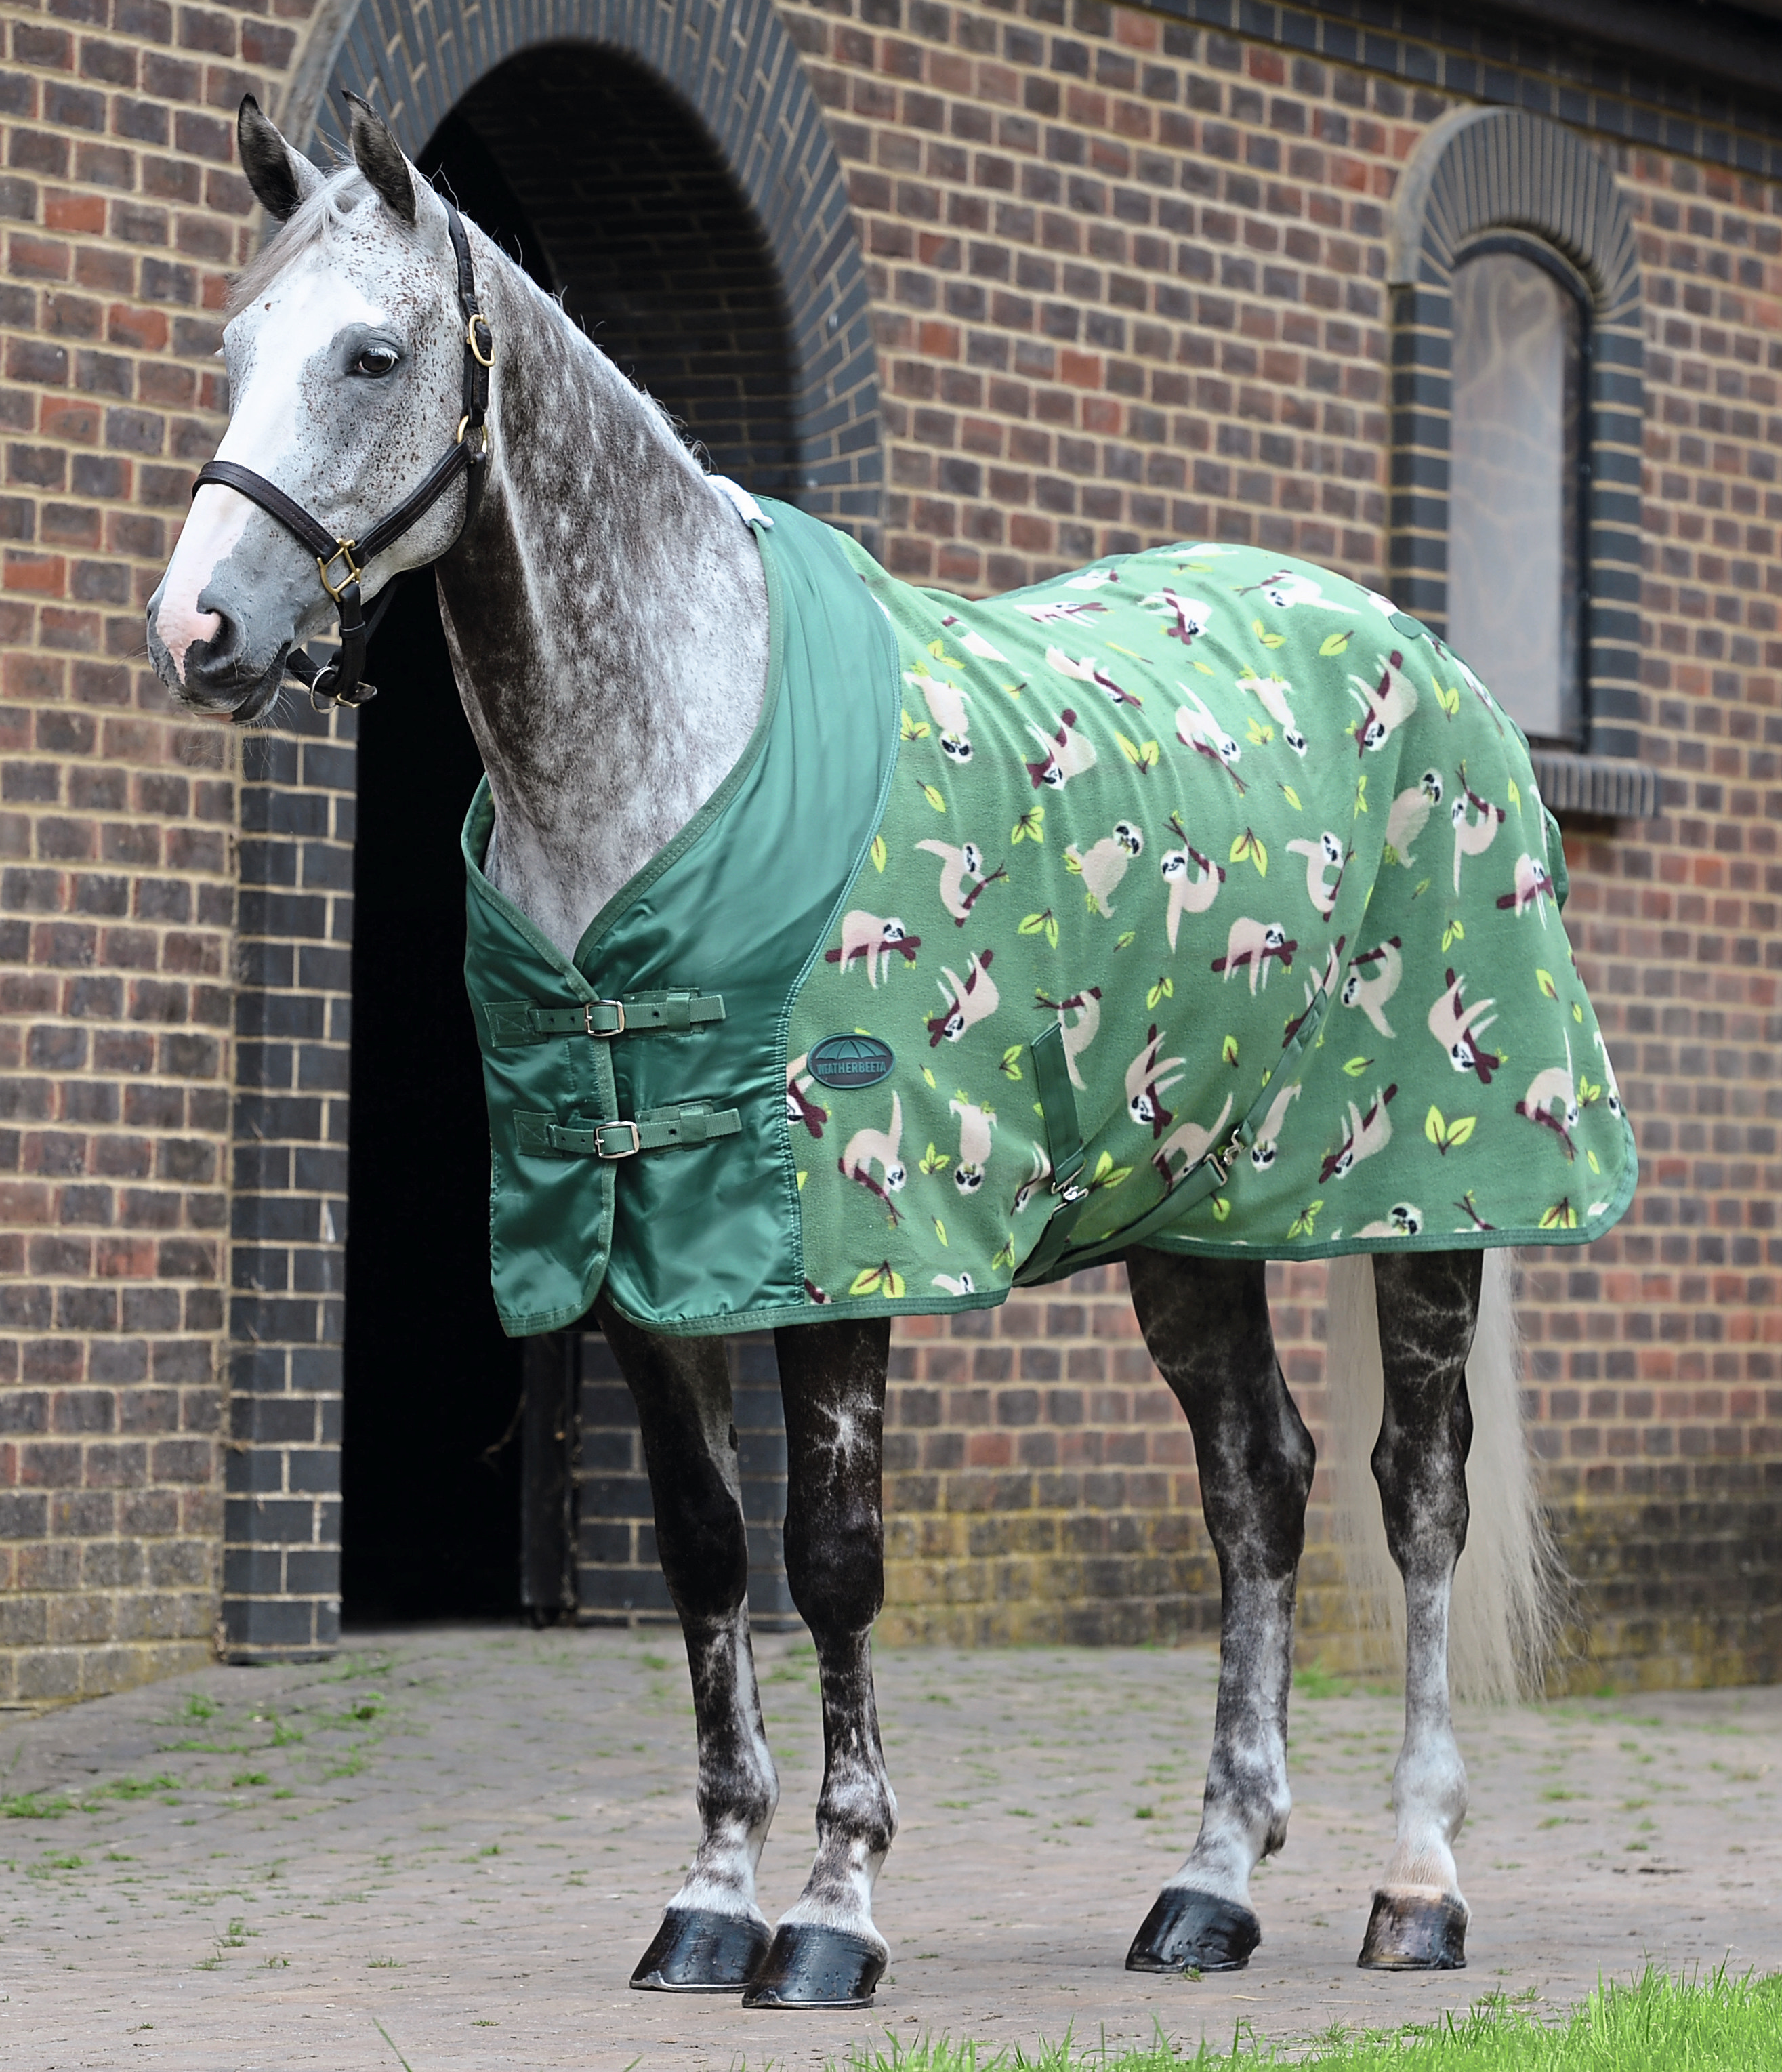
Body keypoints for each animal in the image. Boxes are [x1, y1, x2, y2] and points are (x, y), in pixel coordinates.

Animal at [145, 93, 1609, 2009]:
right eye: (235, 348)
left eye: (373, 354)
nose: (198, 632)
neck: (662, 757)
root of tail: (1416, 651)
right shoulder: (635, 1252)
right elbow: (705, 1555)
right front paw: (707, 1899)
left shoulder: (841, 1240)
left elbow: (831, 1562)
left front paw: (834, 1911)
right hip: (1196, 1215)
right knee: (1257, 1489)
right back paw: (1205, 1885)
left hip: (1425, 1204)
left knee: (1415, 1499)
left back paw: (1417, 1885)